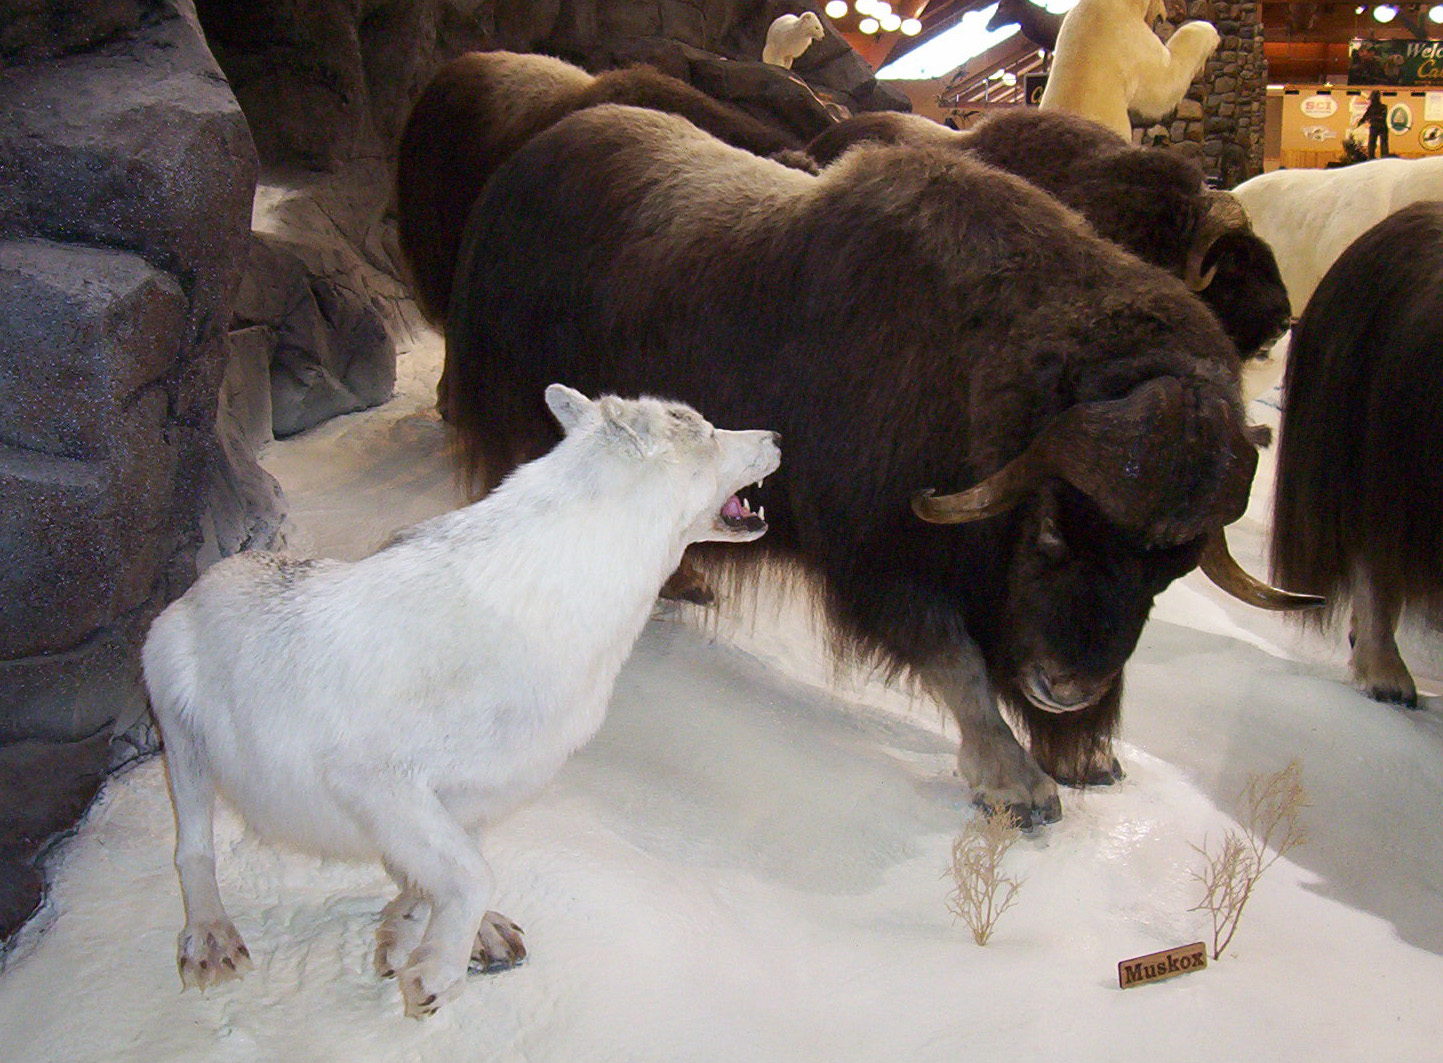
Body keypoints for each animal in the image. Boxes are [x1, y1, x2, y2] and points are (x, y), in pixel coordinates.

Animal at [141, 384, 780, 1017]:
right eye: (709, 431)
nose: (777, 436)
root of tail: (210, 575)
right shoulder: (375, 778)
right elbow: (473, 877)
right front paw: (434, 972)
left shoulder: (467, 798)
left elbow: (442, 878)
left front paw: (413, 939)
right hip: (184, 741)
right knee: (192, 849)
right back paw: (210, 938)